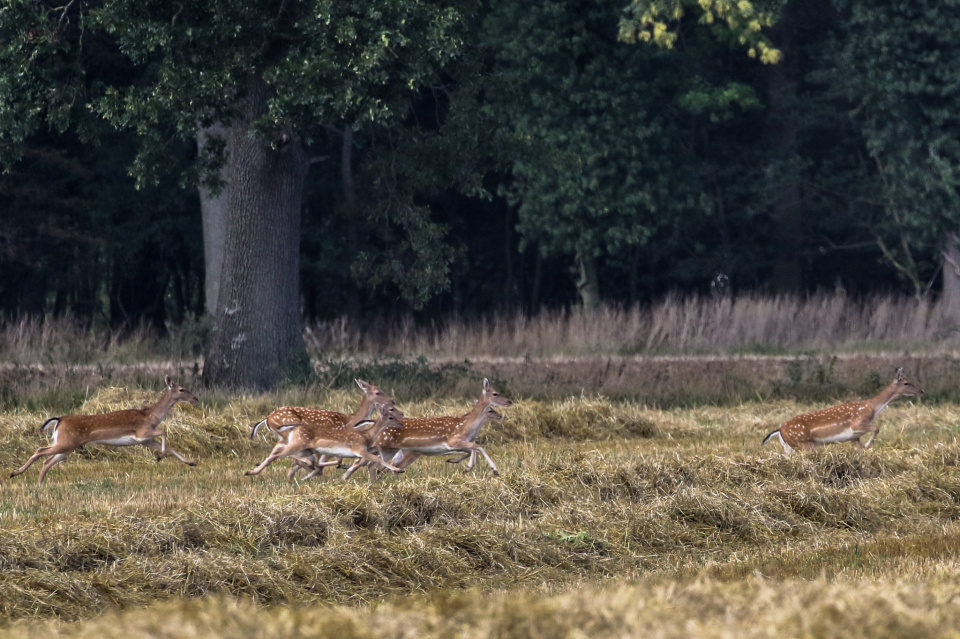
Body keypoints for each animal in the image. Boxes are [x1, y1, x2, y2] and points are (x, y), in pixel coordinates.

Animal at [10, 376, 199, 484]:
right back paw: (15, 473)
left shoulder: (145, 440)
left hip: (66, 446)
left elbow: (170, 446)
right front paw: (160, 457)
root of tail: (60, 420)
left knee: (48, 461)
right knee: (40, 450)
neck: (152, 416)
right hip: (65, 442)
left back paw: (39, 484)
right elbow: (165, 433)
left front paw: (191, 462)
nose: (195, 398)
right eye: (181, 389)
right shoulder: (142, 433)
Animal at [245, 402, 405, 481]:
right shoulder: (358, 448)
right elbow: (376, 458)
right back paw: (251, 471)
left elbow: (375, 455)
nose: (401, 422)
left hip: (303, 448)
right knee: (277, 454)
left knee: (277, 454)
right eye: (391, 416)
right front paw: (398, 469)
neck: (367, 436)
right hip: (297, 444)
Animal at [250, 379, 395, 479]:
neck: (351, 420)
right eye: (378, 392)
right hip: (288, 434)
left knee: (277, 453)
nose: (393, 401)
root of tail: (267, 418)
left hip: (285, 438)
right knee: (285, 454)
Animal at [761, 367, 923, 453]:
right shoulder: (857, 424)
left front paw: (865, 449)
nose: (921, 391)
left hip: (789, 447)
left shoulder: (854, 437)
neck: (872, 409)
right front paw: (868, 445)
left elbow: (860, 448)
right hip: (805, 443)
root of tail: (780, 430)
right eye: (906, 383)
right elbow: (877, 428)